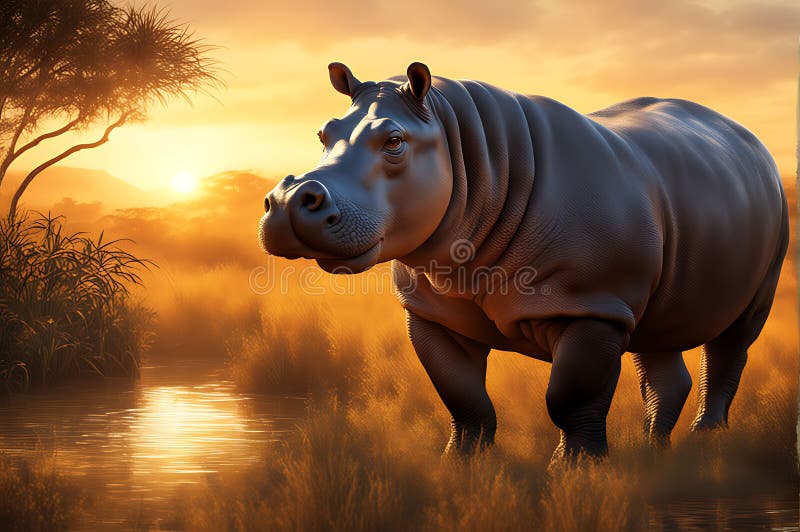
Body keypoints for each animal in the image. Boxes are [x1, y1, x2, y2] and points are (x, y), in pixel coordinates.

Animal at [259, 62, 789, 460]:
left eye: (394, 142)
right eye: (323, 134)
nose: (287, 202)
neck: (465, 150)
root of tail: (746, 136)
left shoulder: (591, 304)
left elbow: (570, 396)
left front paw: (576, 473)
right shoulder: (434, 309)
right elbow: (462, 396)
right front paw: (462, 464)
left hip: (771, 232)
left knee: (733, 340)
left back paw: (705, 443)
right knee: (660, 336)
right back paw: (653, 454)